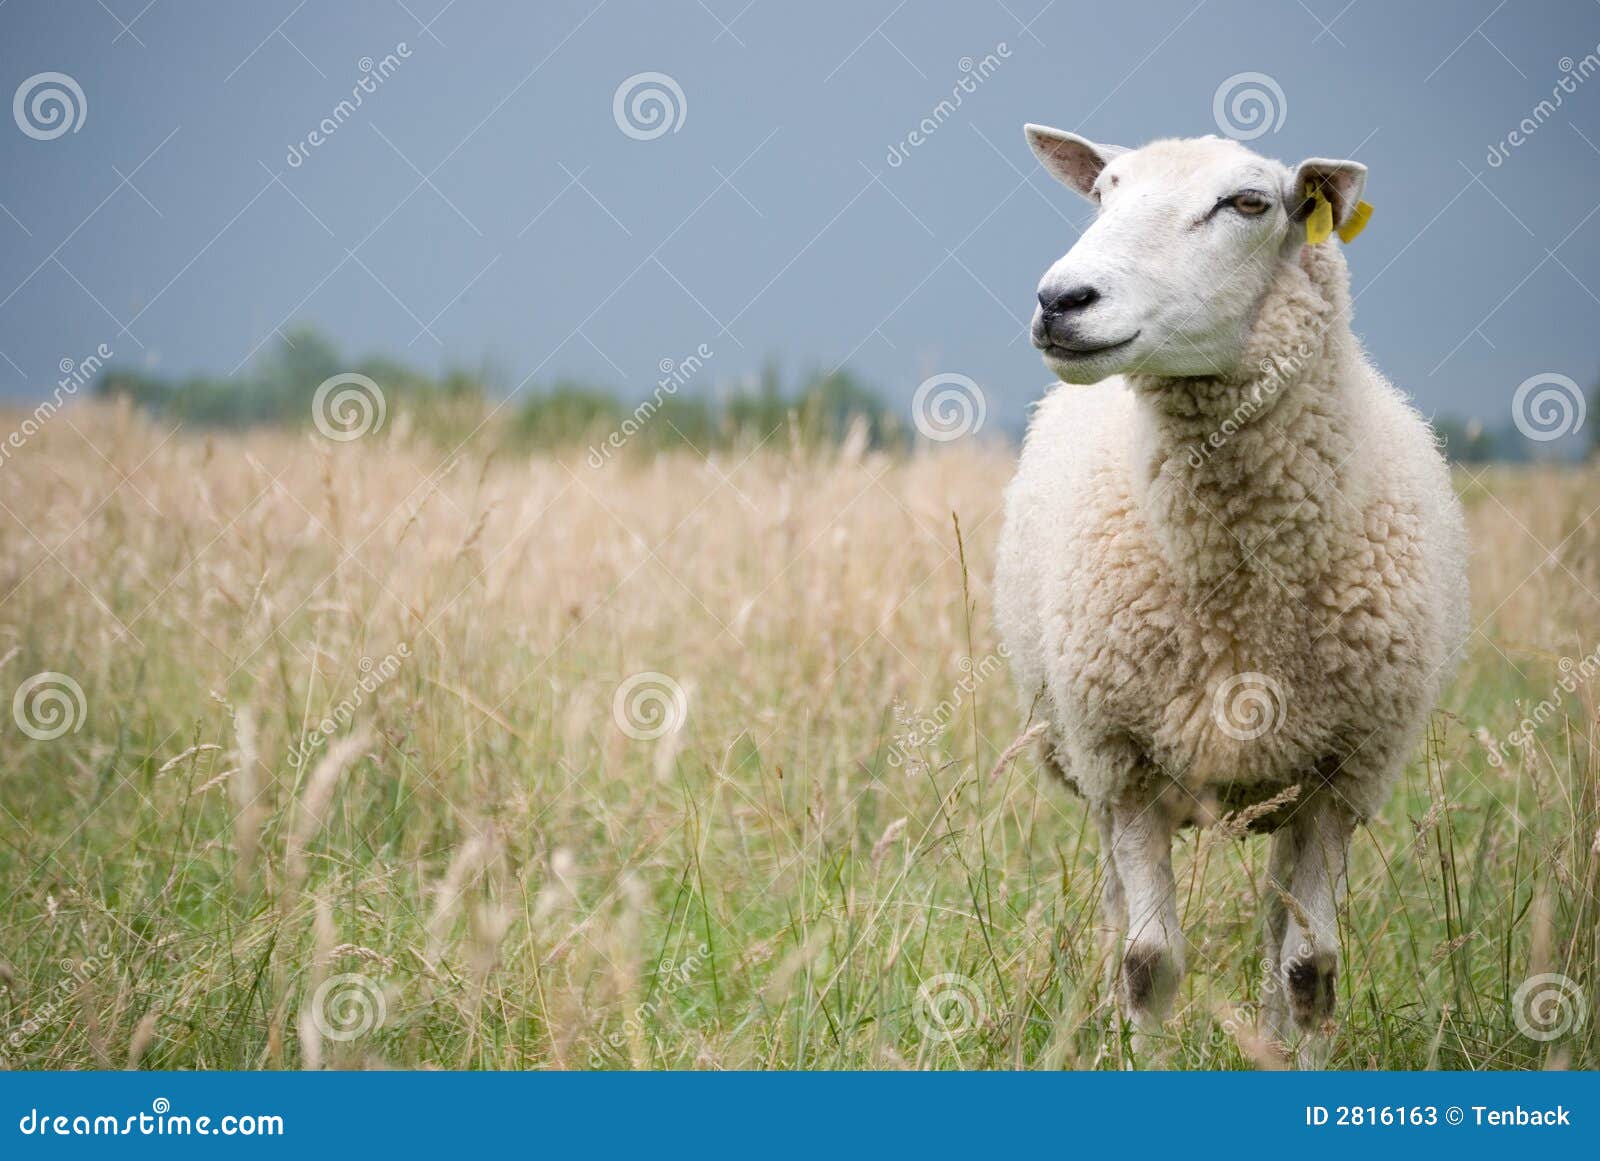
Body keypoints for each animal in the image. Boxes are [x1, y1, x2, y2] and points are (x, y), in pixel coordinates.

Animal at [993, 128, 1469, 1053]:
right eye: (1104, 191)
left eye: (1247, 204)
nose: (1061, 300)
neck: (1243, 599)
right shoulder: (1125, 765)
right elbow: (1148, 962)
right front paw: (1138, 1052)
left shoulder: (1342, 776)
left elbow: (1311, 970)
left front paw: (1295, 1052)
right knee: (1121, 917)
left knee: (1281, 933)